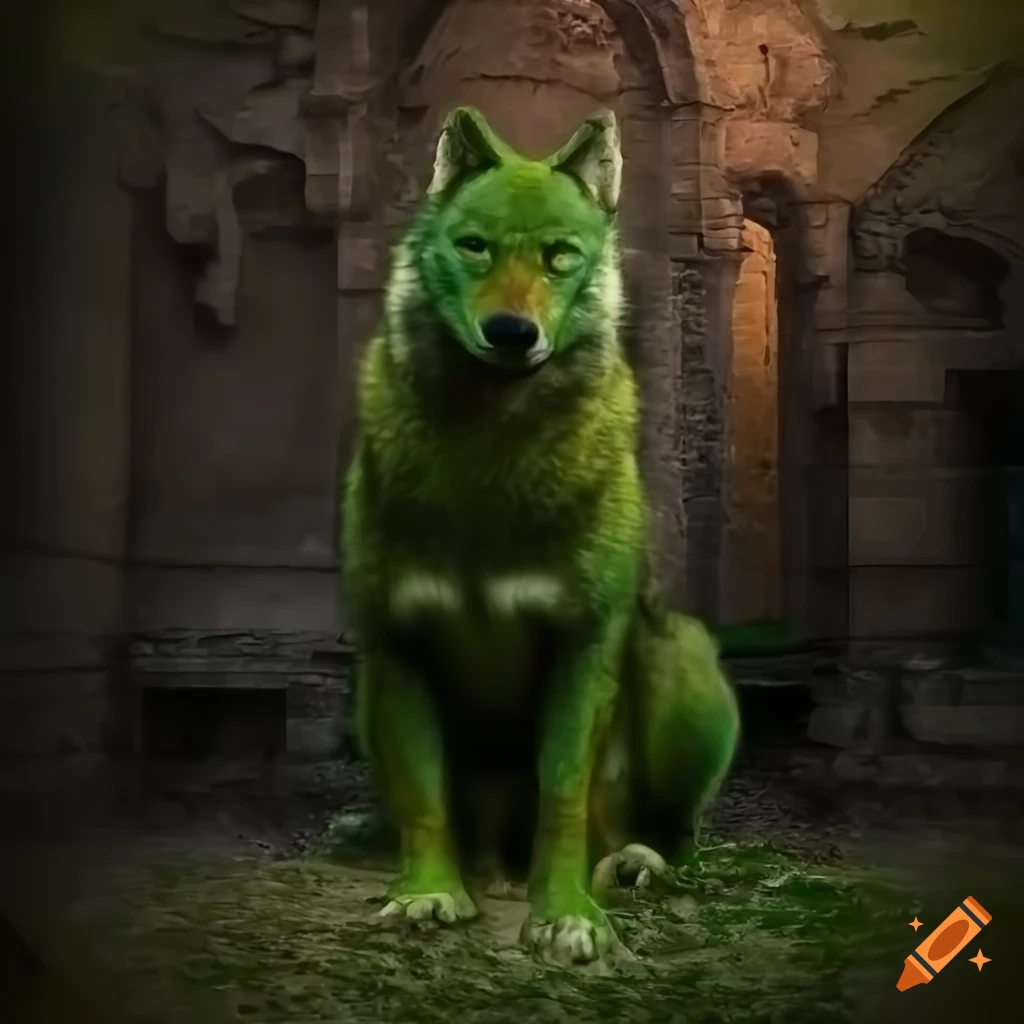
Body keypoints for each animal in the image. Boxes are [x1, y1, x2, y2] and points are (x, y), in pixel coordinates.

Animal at [342, 106, 740, 967]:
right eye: (475, 247)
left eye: (559, 256)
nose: (509, 332)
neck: (493, 458)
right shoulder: (397, 642)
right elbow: (424, 797)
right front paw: (425, 894)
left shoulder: (583, 640)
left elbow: (563, 798)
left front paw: (568, 916)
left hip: (679, 655)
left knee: (670, 833)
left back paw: (632, 863)